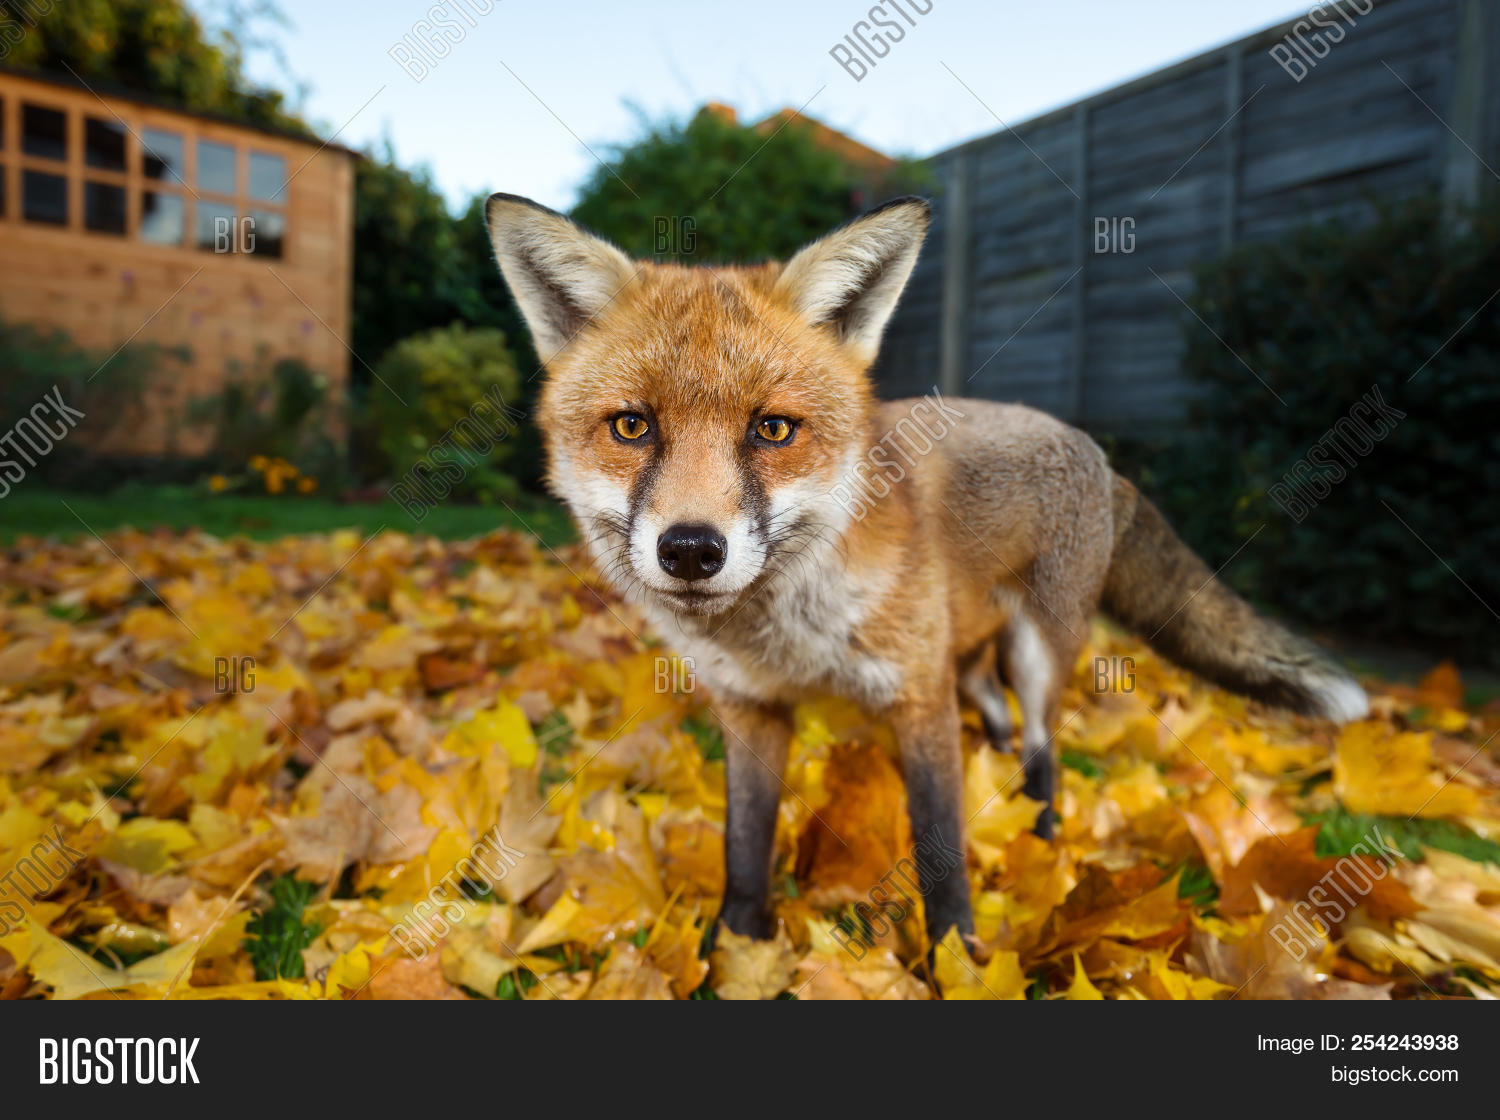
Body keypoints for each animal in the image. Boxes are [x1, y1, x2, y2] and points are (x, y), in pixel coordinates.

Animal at [483, 192, 1368, 950]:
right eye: (632, 427)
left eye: (774, 430)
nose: (693, 550)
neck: (788, 634)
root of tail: (1091, 446)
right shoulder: (750, 710)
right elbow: (744, 846)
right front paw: (736, 949)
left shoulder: (917, 700)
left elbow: (940, 847)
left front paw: (958, 958)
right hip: (968, 659)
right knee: (1001, 725)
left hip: (1035, 655)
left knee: (1043, 752)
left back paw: (1041, 840)